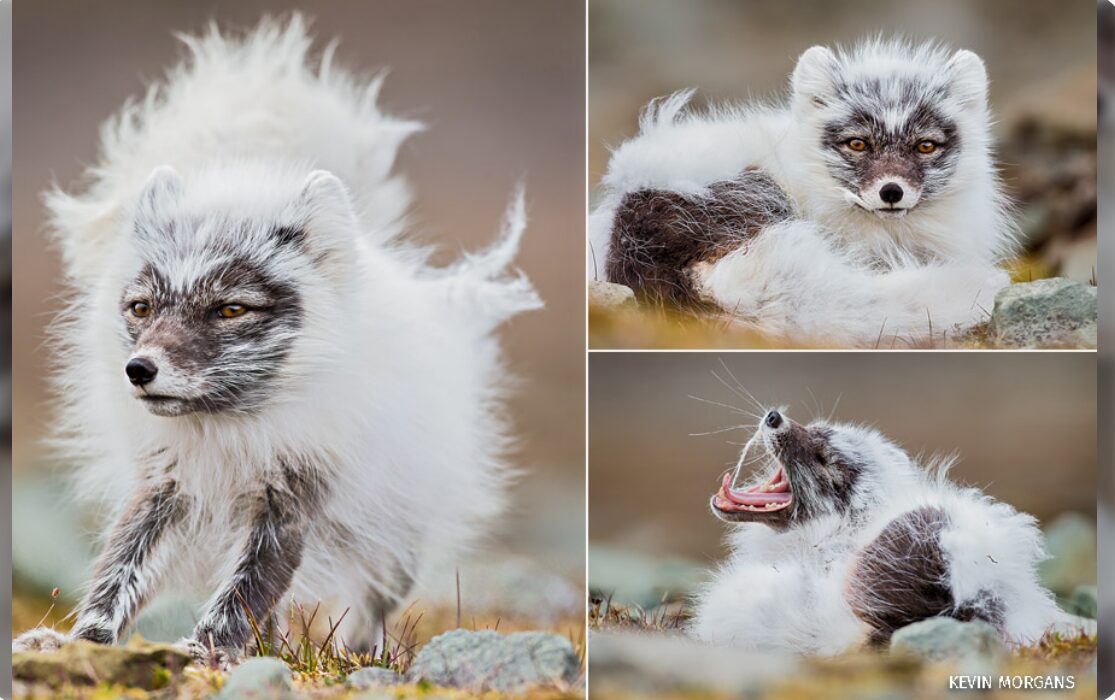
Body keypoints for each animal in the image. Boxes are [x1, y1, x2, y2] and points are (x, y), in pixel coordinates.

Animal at [12, 15, 541, 666]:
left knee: (373, 599)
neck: (228, 432)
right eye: (141, 308)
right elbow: (118, 575)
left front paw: (202, 654)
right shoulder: (165, 488)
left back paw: (362, 657)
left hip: (395, 534)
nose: (139, 369)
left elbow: (242, 592)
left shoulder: (291, 501)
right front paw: (79, 644)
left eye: (231, 308)